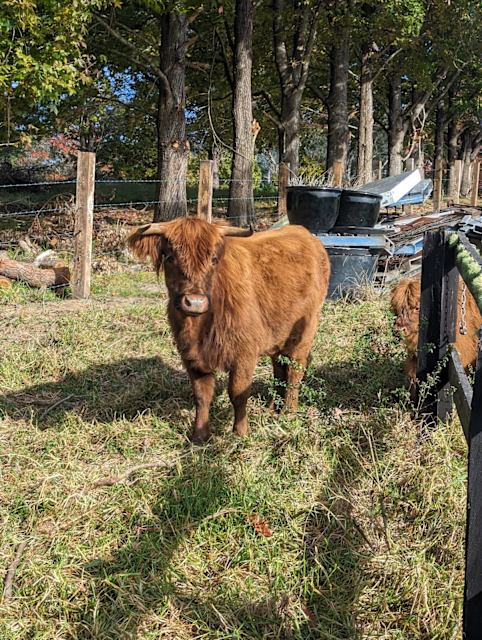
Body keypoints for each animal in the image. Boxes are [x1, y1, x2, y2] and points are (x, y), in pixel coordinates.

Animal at [128, 217, 330, 443]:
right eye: (171, 258)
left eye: (214, 260)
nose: (195, 302)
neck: (200, 326)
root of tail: (305, 233)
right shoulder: (191, 357)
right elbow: (202, 395)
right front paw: (199, 436)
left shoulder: (244, 355)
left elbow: (238, 393)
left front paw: (241, 433)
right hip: (278, 334)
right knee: (279, 367)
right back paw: (273, 408)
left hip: (305, 331)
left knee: (296, 368)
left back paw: (288, 411)